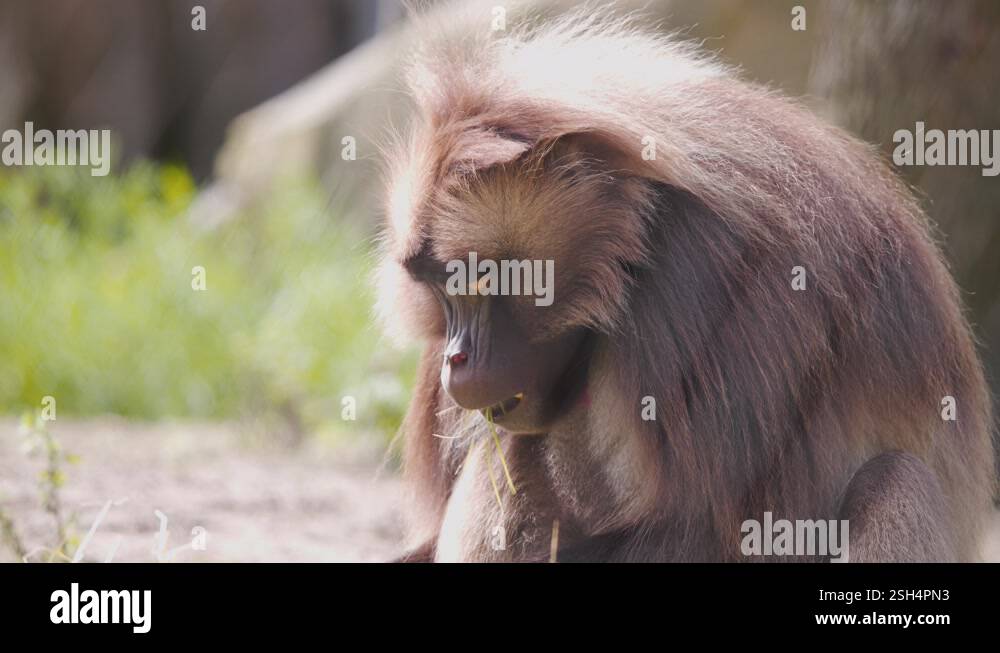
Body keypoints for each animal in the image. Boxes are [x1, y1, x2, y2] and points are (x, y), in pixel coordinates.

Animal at [376, 8, 995, 562]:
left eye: (479, 280)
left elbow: (724, 532)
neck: (630, 245)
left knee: (894, 478)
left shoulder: (706, 282)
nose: (455, 359)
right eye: (441, 288)